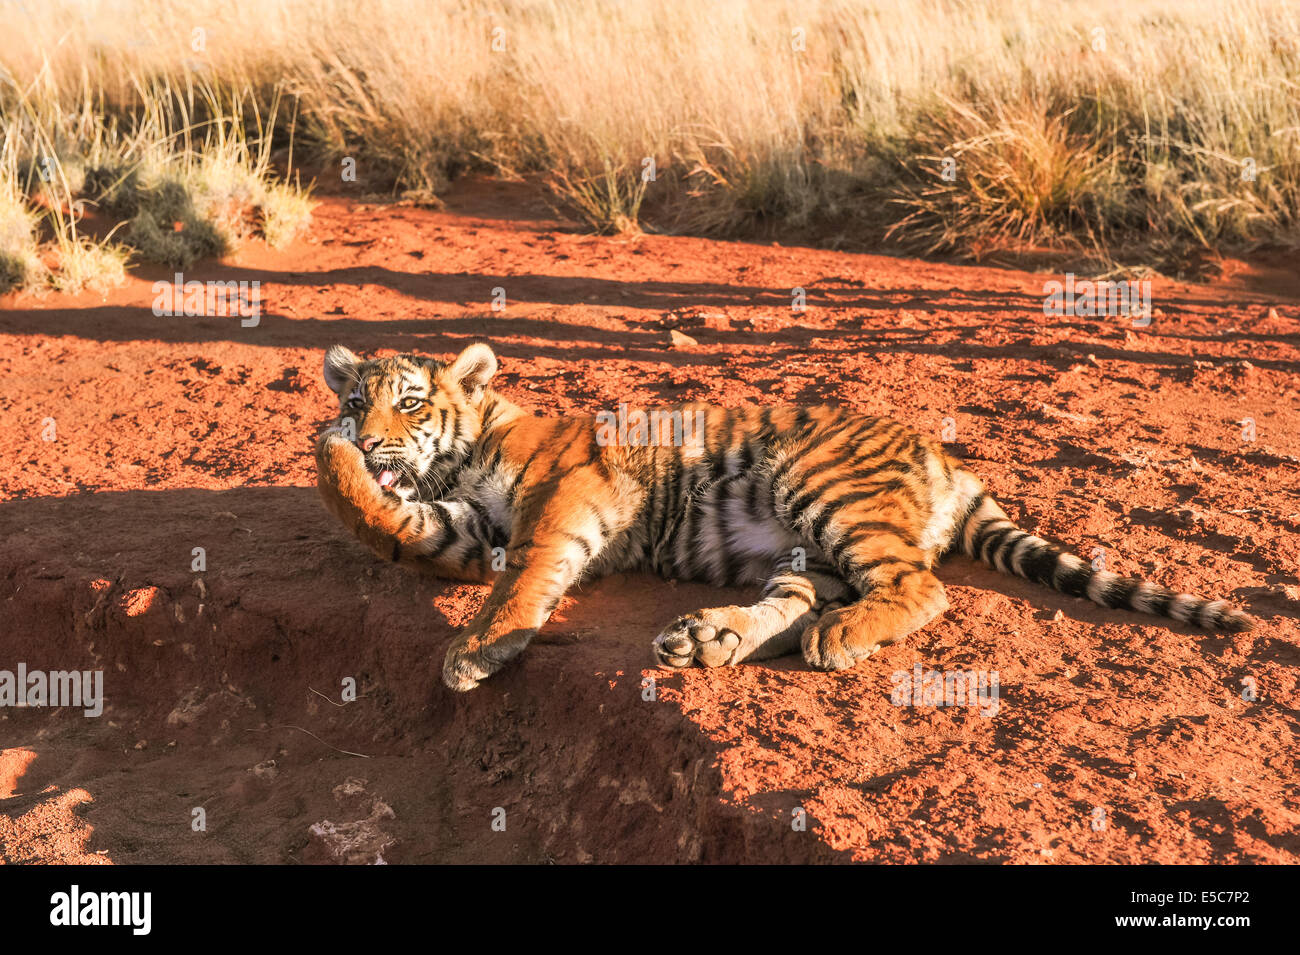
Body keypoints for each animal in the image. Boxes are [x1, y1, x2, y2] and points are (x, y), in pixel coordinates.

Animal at [314, 342, 1254, 692]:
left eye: (408, 402)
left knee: (920, 589)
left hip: (823, 486)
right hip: (802, 550)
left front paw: (475, 650)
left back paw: (832, 641)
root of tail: (951, 460)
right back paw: (710, 640)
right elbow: (394, 524)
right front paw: (339, 457)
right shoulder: (470, 529)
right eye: (361, 398)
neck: (463, 455)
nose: (365, 429)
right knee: (799, 602)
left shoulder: (561, 498)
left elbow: (525, 578)